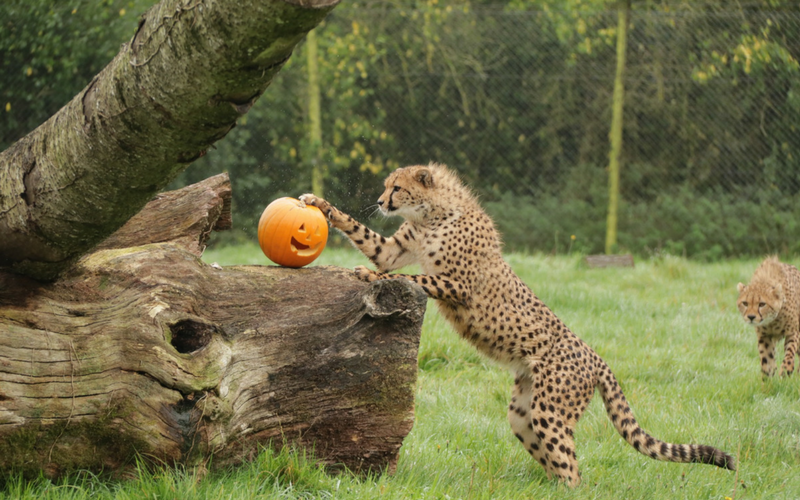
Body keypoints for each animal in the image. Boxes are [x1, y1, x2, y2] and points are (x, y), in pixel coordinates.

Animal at [300, 162, 735, 486]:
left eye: (397, 188)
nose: (379, 200)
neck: (433, 213)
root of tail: (596, 357)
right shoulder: (393, 250)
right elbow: (365, 236)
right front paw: (319, 204)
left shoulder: (458, 284)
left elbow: (413, 277)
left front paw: (368, 276)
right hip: (523, 411)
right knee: (556, 459)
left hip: (550, 410)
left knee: (573, 470)